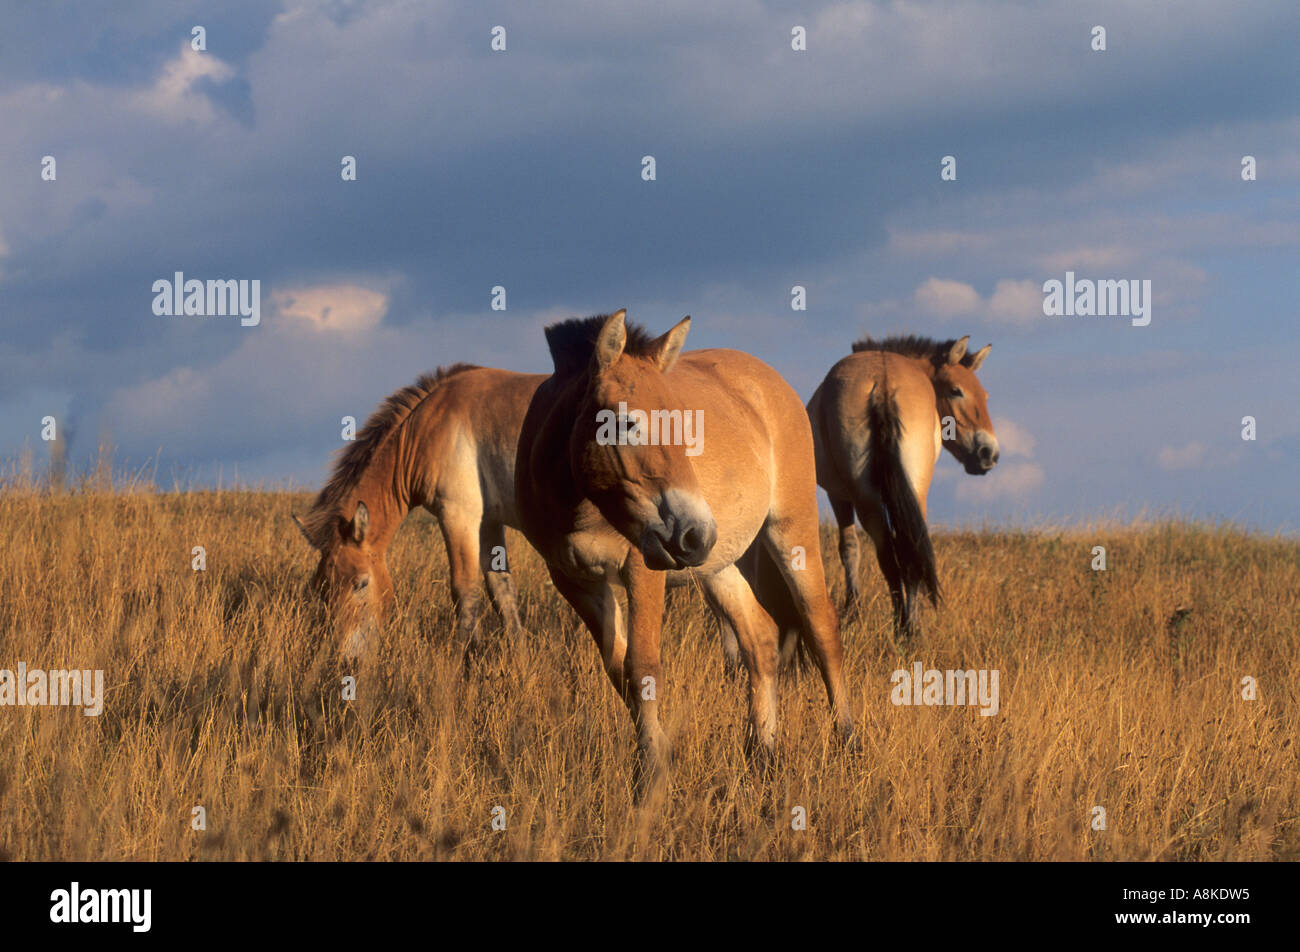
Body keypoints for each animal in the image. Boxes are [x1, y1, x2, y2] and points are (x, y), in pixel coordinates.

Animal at [294, 364, 546, 659]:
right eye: (320, 587)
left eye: (362, 583)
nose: (347, 658)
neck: (425, 429)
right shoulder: (488, 522)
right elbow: (502, 592)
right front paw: (518, 659)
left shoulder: (458, 516)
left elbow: (465, 591)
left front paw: (460, 662)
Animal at [514, 309, 853, 802]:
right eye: (624, 423)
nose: (694, 533)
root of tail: (771, 382)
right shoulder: (575, 581)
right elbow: (620, 671)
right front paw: (652, 759)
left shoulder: (642, 569)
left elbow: (643, 666)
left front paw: (650, 777)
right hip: (717, 568)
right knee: (760, 639)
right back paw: (764, 752)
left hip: (791, 531)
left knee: (822, 625)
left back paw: (848, 740)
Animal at [805, 333, 997, 641]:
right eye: (957, 391)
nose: (989, 453)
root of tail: (884, 381)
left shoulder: (838, 496)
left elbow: (849, 549)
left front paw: (852, 611)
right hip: (914, 493)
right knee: (909, 553)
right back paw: (911, 628)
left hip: (867, 500)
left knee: (888, 557)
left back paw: (901, 625)